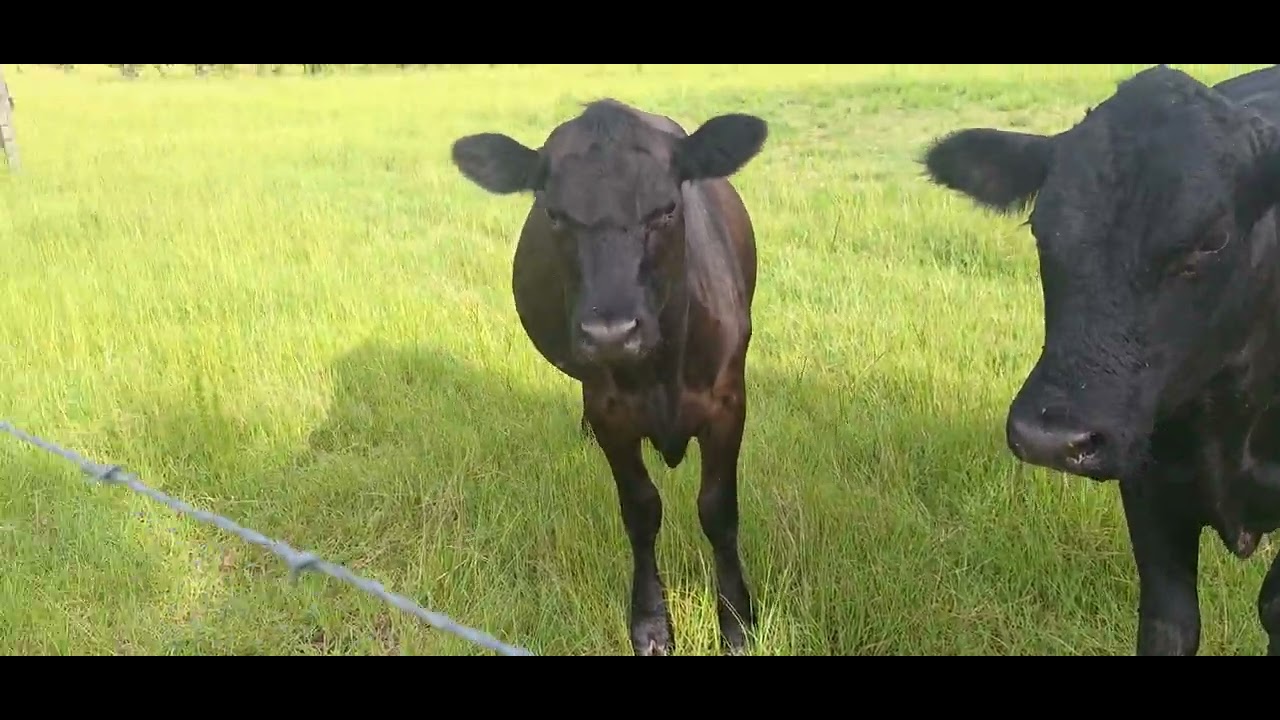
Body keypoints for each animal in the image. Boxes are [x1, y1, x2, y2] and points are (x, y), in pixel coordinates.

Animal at [450, 98, 769, 656]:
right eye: (554, 213)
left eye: (666, 209)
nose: (611, 332)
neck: (661, 371)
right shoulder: (611, 414)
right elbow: (641, 510)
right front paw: (651, 624)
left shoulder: (728, 403)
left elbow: (718, 511)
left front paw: (735, 621)